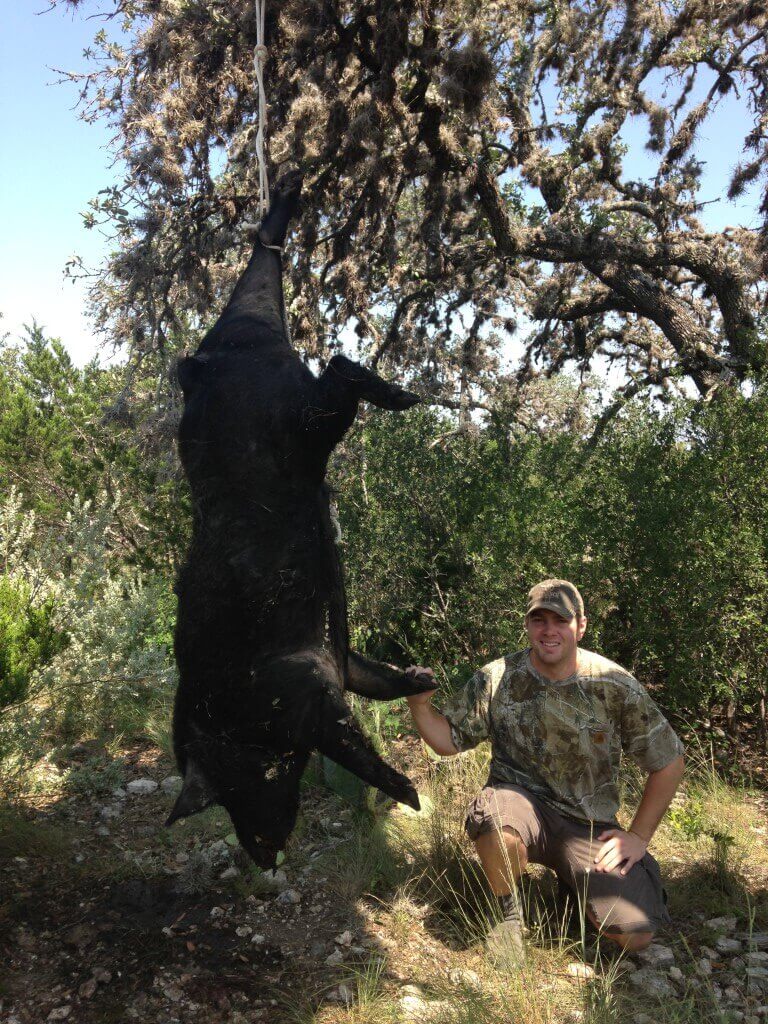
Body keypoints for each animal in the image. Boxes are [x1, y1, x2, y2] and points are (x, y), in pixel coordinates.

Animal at [167, 171, 433, 868]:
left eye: (233, 792)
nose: (262, 859)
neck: (233, 714)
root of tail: (215, 356)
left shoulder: (309, 695)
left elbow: (352, 747)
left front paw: (409, 793)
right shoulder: (337, 669)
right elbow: (376, 680)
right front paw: (421, 676)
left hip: (298, 424)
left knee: (340, 368)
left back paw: (401, 395)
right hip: (297, 409)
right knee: (295, 299)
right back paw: (289, 188)